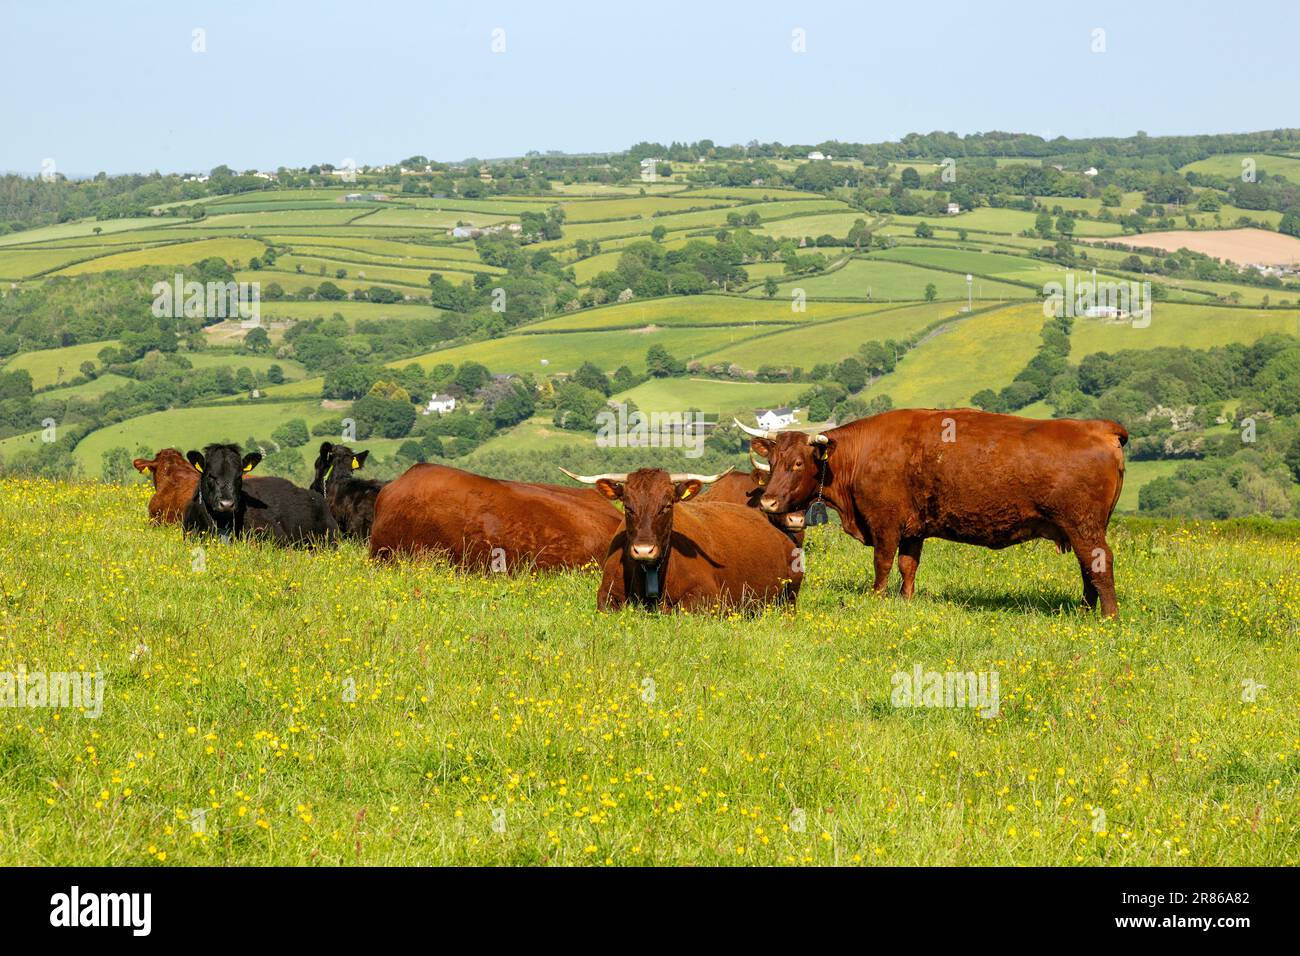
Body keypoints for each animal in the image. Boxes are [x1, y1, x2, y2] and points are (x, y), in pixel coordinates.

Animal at [738, 408, 1128, 617]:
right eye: (773, 461)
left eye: (798, 463)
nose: (768, 503)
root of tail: (1100, 427)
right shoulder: (913, 529)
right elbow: (907, 566)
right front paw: (905, 600)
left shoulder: (885, 524)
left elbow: (882, 564)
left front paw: (878, 599)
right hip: (1083, 528)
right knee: (1088, 567)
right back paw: (1084, 609)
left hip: (1084, 526)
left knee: (1100, 564)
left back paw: (1106, 616)